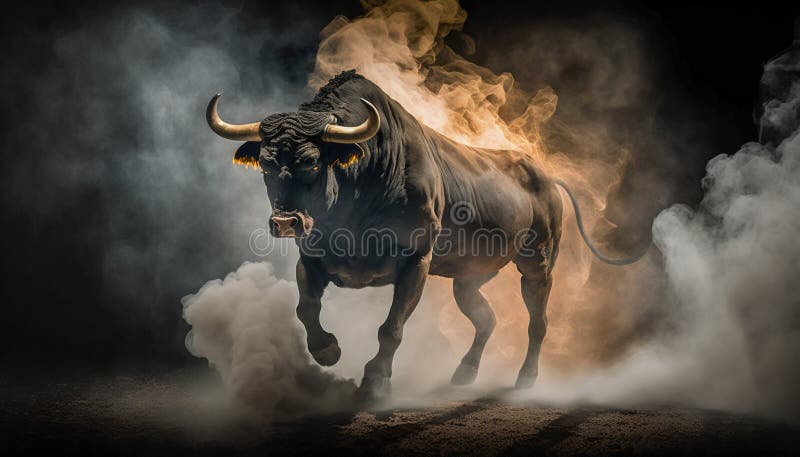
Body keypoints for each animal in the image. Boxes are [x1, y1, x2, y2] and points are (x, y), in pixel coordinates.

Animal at [206, 70, 645, 401]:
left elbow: (391, 327)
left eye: (312, 161)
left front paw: (375, 381)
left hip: (538, 263)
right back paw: (464, 373)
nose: (285, 223)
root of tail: (543, 176)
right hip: (468, 278)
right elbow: (306, 308)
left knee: (538, 321)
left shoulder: (416, 260)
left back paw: (525, 378)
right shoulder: (310, 258)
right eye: (265, 163)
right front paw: (328, 350)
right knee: (485, 318)